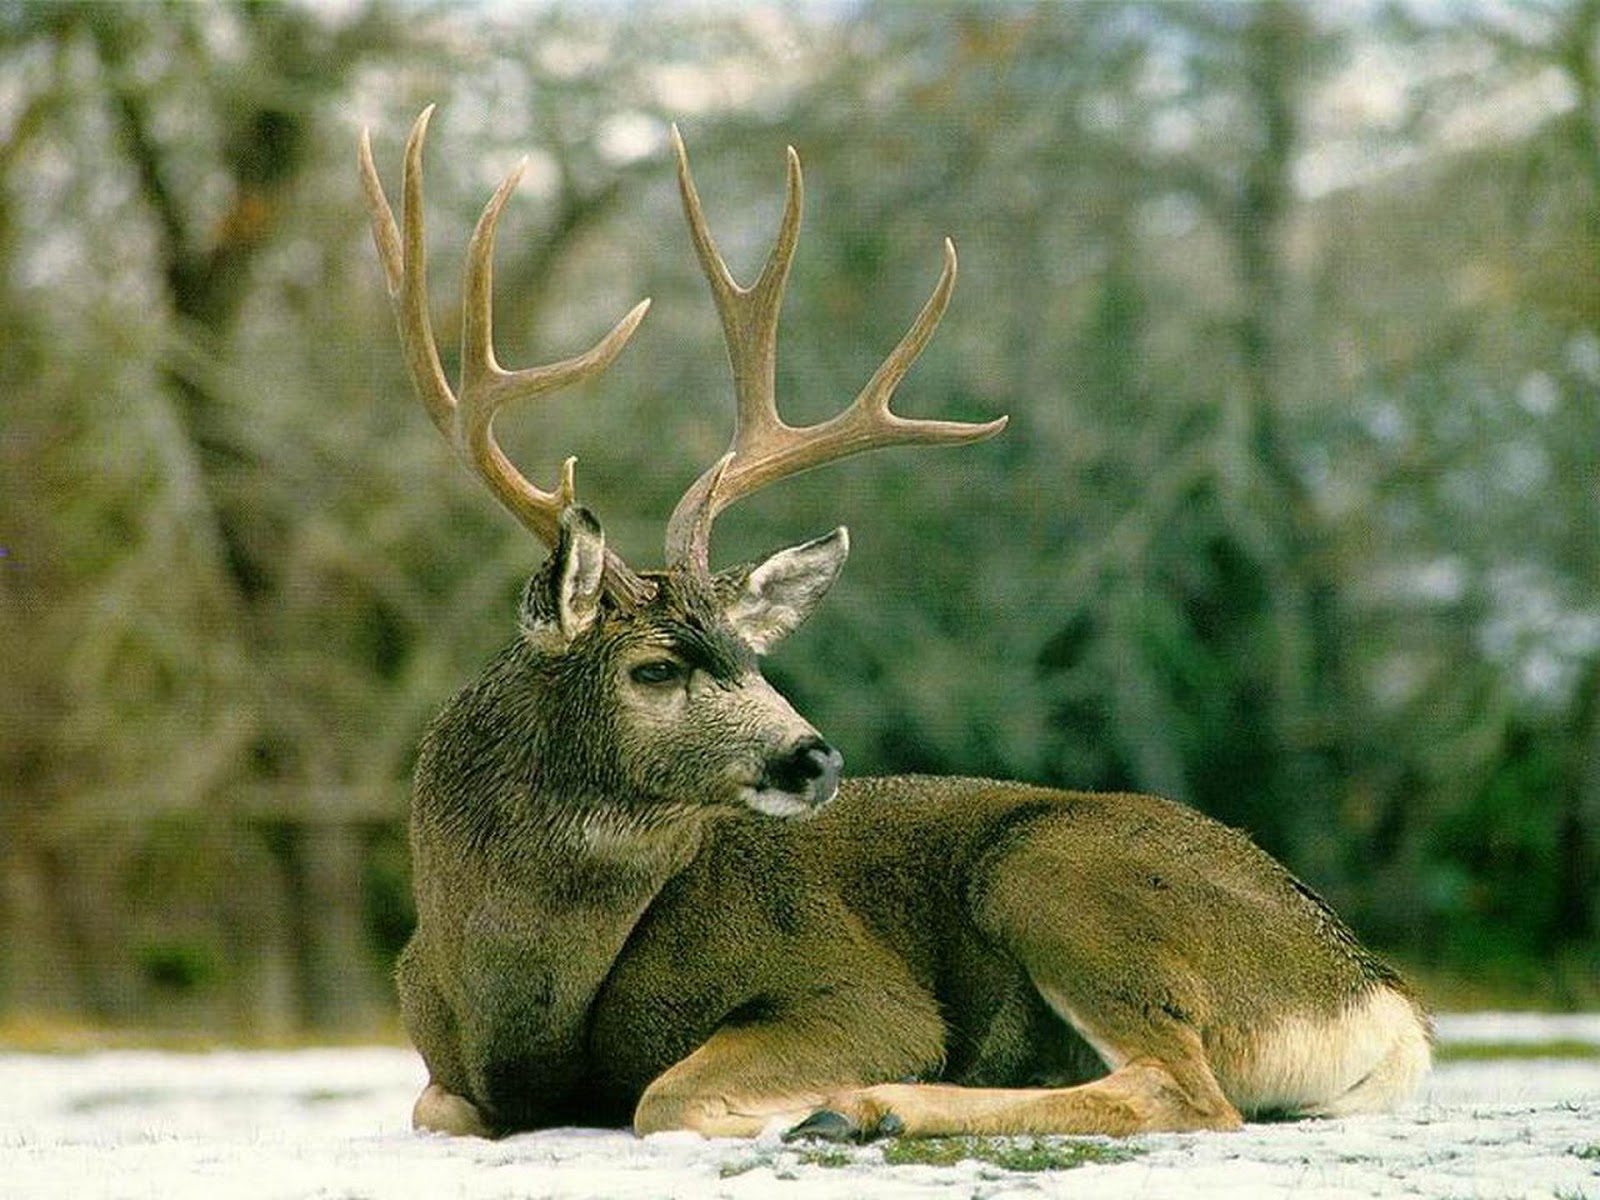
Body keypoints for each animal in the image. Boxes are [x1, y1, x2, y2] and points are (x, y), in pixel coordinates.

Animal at [357, 106, 1432, 1143]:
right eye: (655, 668)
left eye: (752, 656)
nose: (814, 758)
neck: (511, 999)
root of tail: (1381, 998)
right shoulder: (442, 1074)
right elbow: (433, 1108)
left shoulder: (858, 991)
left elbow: (662, 1095)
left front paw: (806, 1100)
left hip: (1055, 875)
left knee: (1183, 1090)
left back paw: (865, 1107)